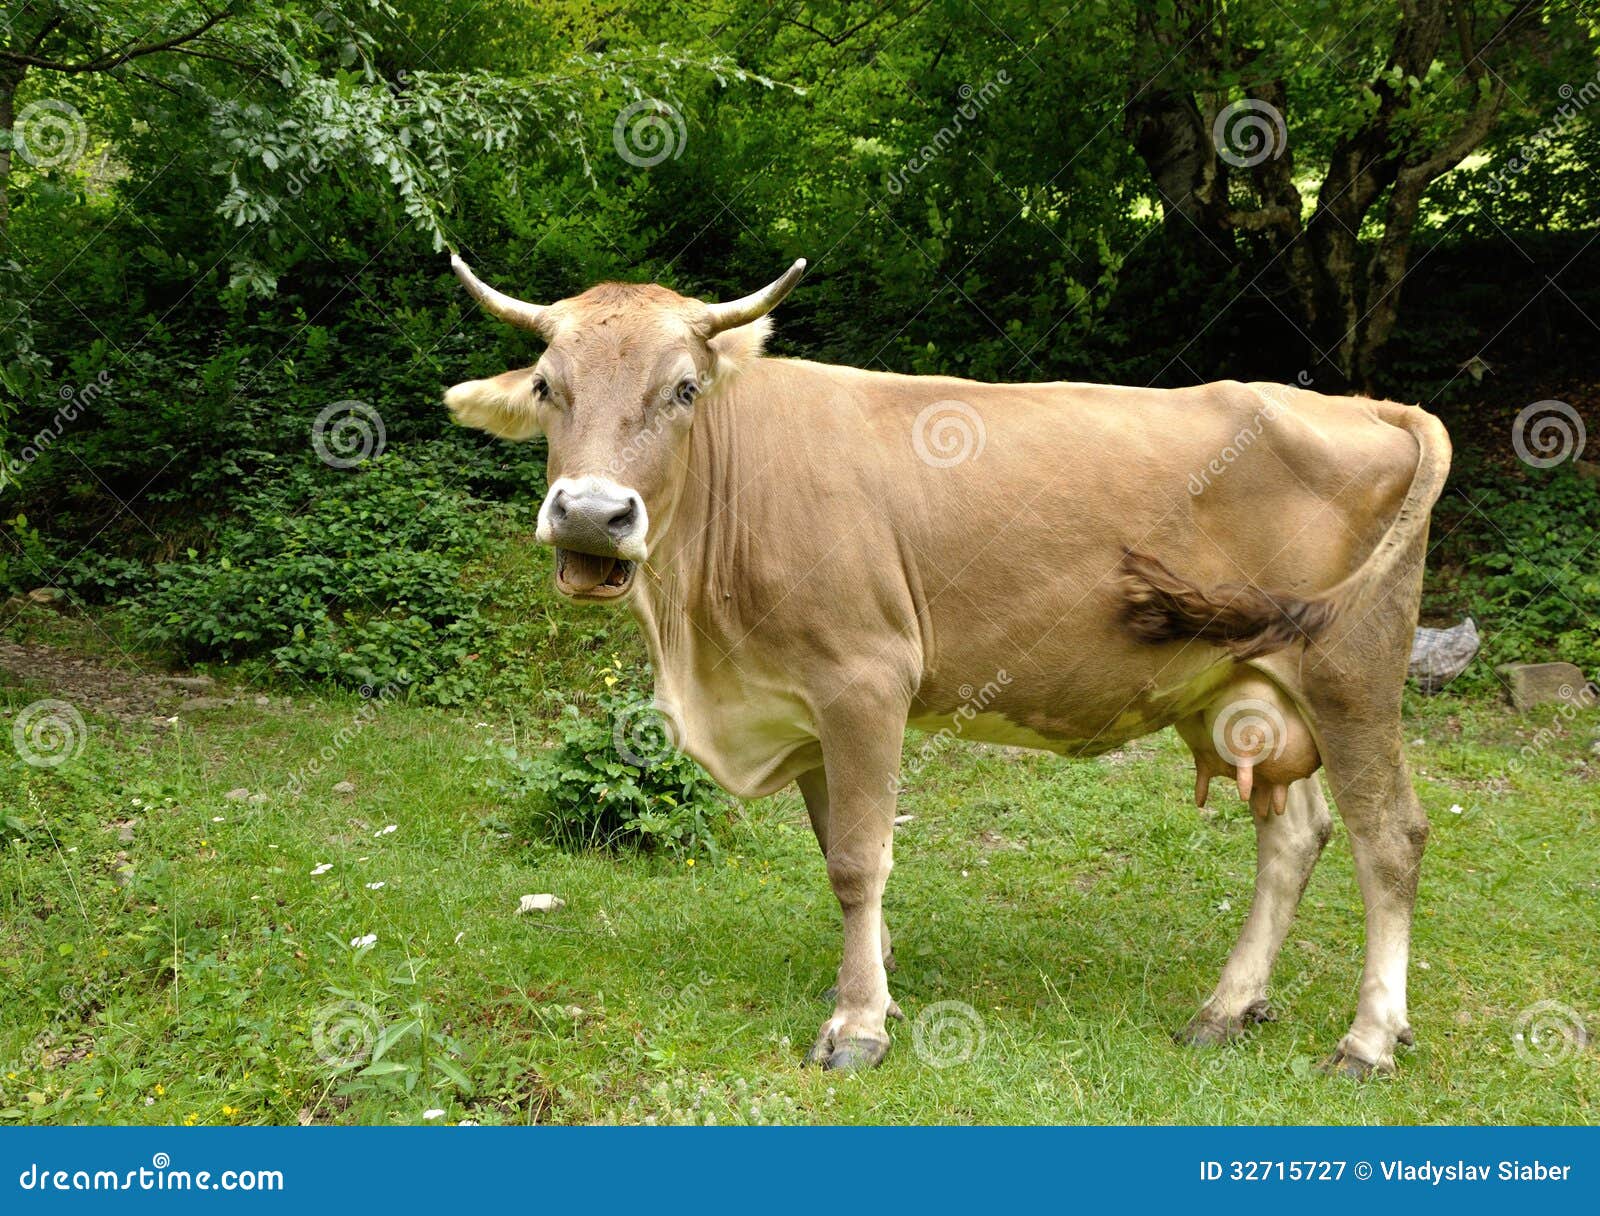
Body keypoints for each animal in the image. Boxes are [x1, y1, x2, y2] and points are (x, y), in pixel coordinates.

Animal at [443, 253, 1450, 1076]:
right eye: (547, 386)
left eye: (685, 389)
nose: (590, 515)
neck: (698, 643)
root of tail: (1361, 405)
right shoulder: (804, 709)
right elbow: (841, 852)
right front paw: (873, 989)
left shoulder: (864, 679)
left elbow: (859, 859)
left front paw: (857, 1026)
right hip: (1249, 685)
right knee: (1296, 834)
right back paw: (1228, 1007)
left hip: (1353, 675)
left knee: (1389, 837)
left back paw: (1367, 1038)